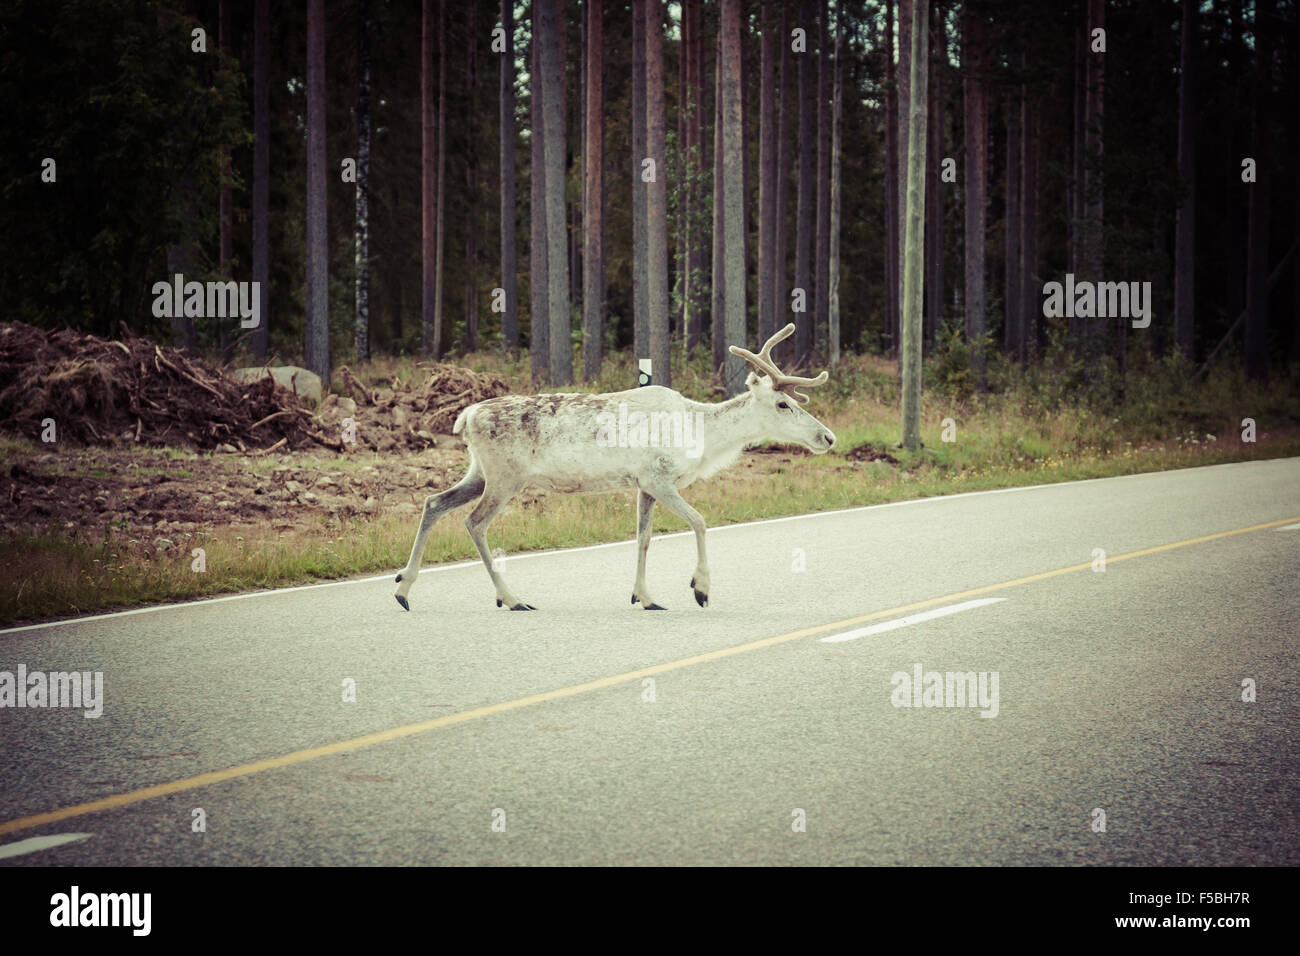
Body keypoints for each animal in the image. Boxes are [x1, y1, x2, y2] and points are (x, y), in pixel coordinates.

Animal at [393, 323, 835, 612]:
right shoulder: (659, 476)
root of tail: (465, 416)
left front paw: (645, 597)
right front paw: (700, 589)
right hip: (505, 476)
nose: (828, 437)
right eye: (783, 404)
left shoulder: (644, 483)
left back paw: (403, 588)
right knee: (474, 522)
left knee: (435, 502)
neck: (701, 436)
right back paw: (512, 598)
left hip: (480, 472)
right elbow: (699, 521)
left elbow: (643, 538)